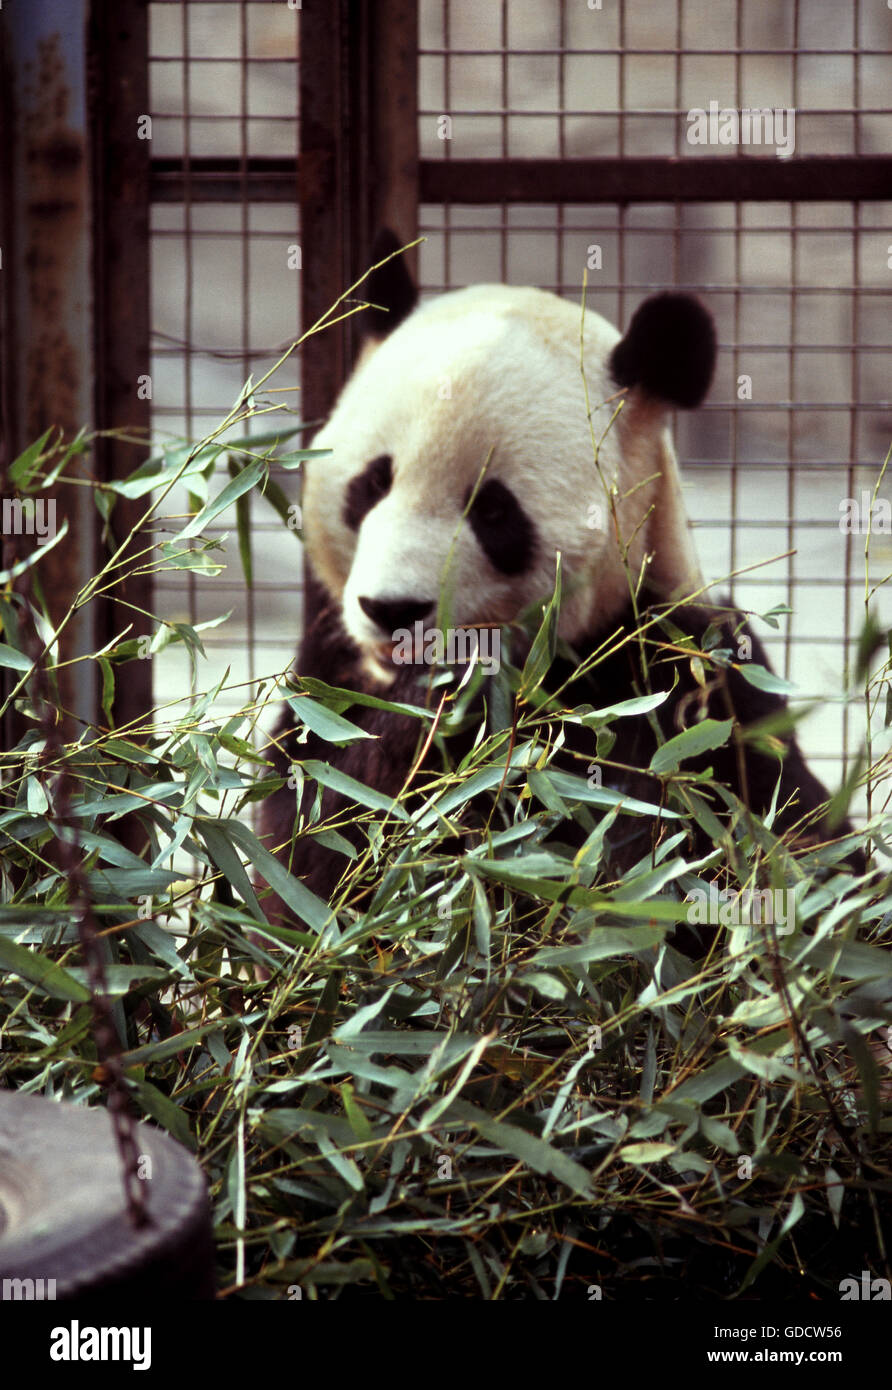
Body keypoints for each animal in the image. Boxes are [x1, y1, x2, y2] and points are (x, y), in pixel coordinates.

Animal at [259, 233, 861, 938]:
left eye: (494, 511)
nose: (392, 609)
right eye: (373, 483)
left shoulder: (682, 684)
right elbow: (312, 845)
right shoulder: (329, 686)